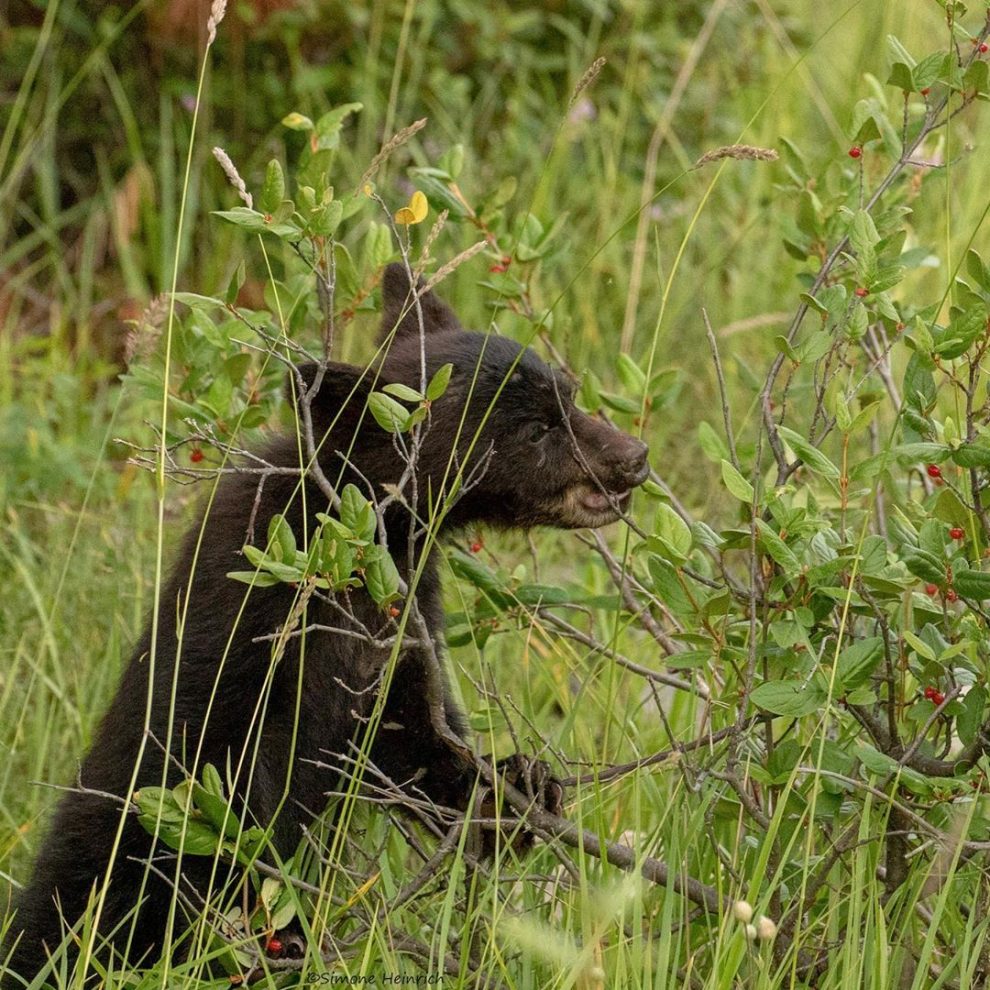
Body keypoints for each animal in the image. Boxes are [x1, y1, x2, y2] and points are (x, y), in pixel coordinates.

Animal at [2, 263, 650, 984]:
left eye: (569, 394)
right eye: (536, 431)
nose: (633, 455)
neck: (358, 530)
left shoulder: (397, 616)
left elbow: (411, 732)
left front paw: (514, 788)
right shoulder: (252, 625)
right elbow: (239, 779)